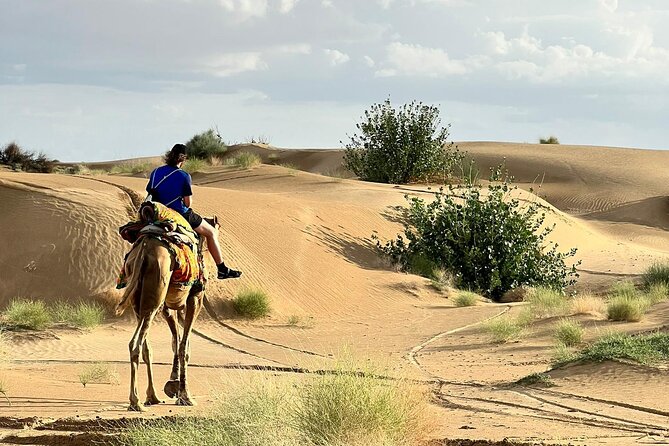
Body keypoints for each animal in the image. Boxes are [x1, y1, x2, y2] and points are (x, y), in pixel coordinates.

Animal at [116, 206, 213, 412]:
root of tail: (144, 250)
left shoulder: (167, 306)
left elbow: (176, 341)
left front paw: (172, 386)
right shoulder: (195, 298)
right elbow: (184, 346)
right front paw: (185, 396)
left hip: (141, 297)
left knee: (144, 345)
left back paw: (151, 397)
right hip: (157, 287)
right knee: (135, 343)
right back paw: (136, 402)